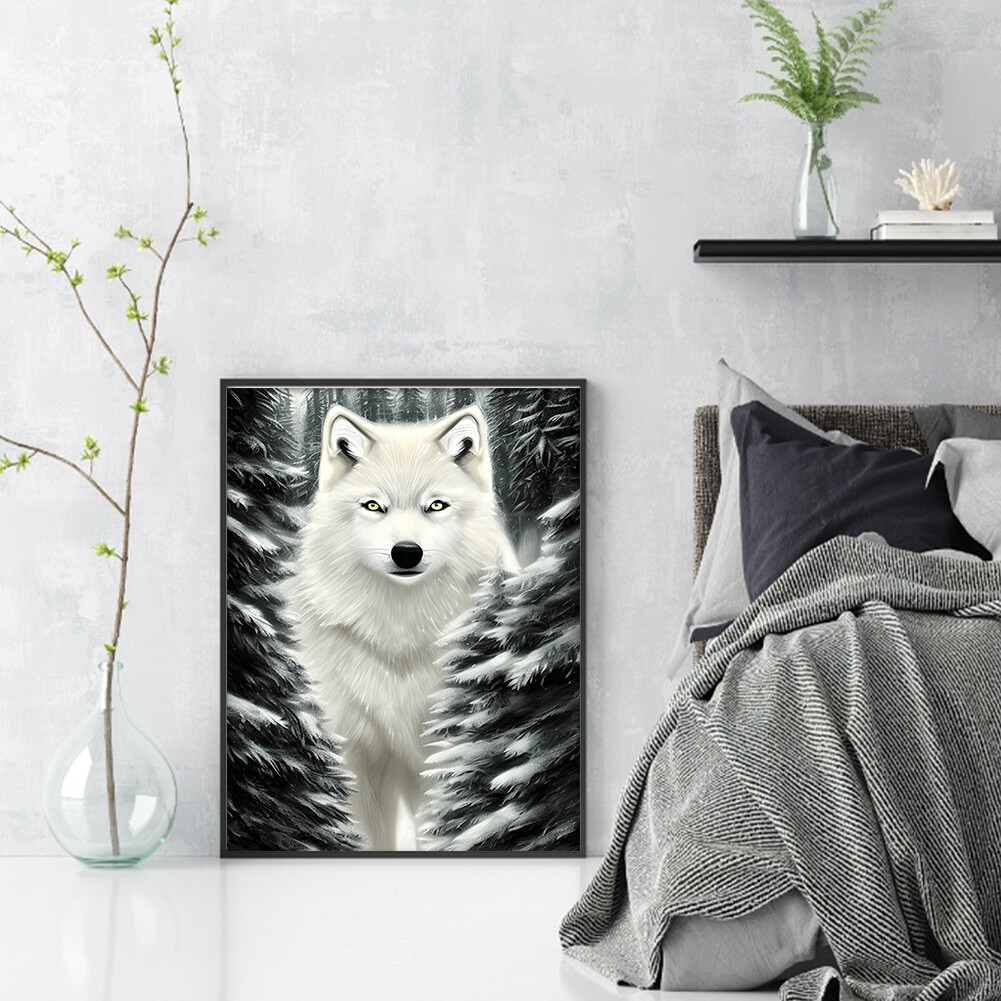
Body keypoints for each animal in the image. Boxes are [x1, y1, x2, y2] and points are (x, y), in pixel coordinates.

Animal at [292, 403, 518, 851]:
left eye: (436, 506)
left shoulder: (442, 750)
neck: (400, 631)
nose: (407, 552)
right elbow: (363, 831)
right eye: (373, 506)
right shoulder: (354, 749)